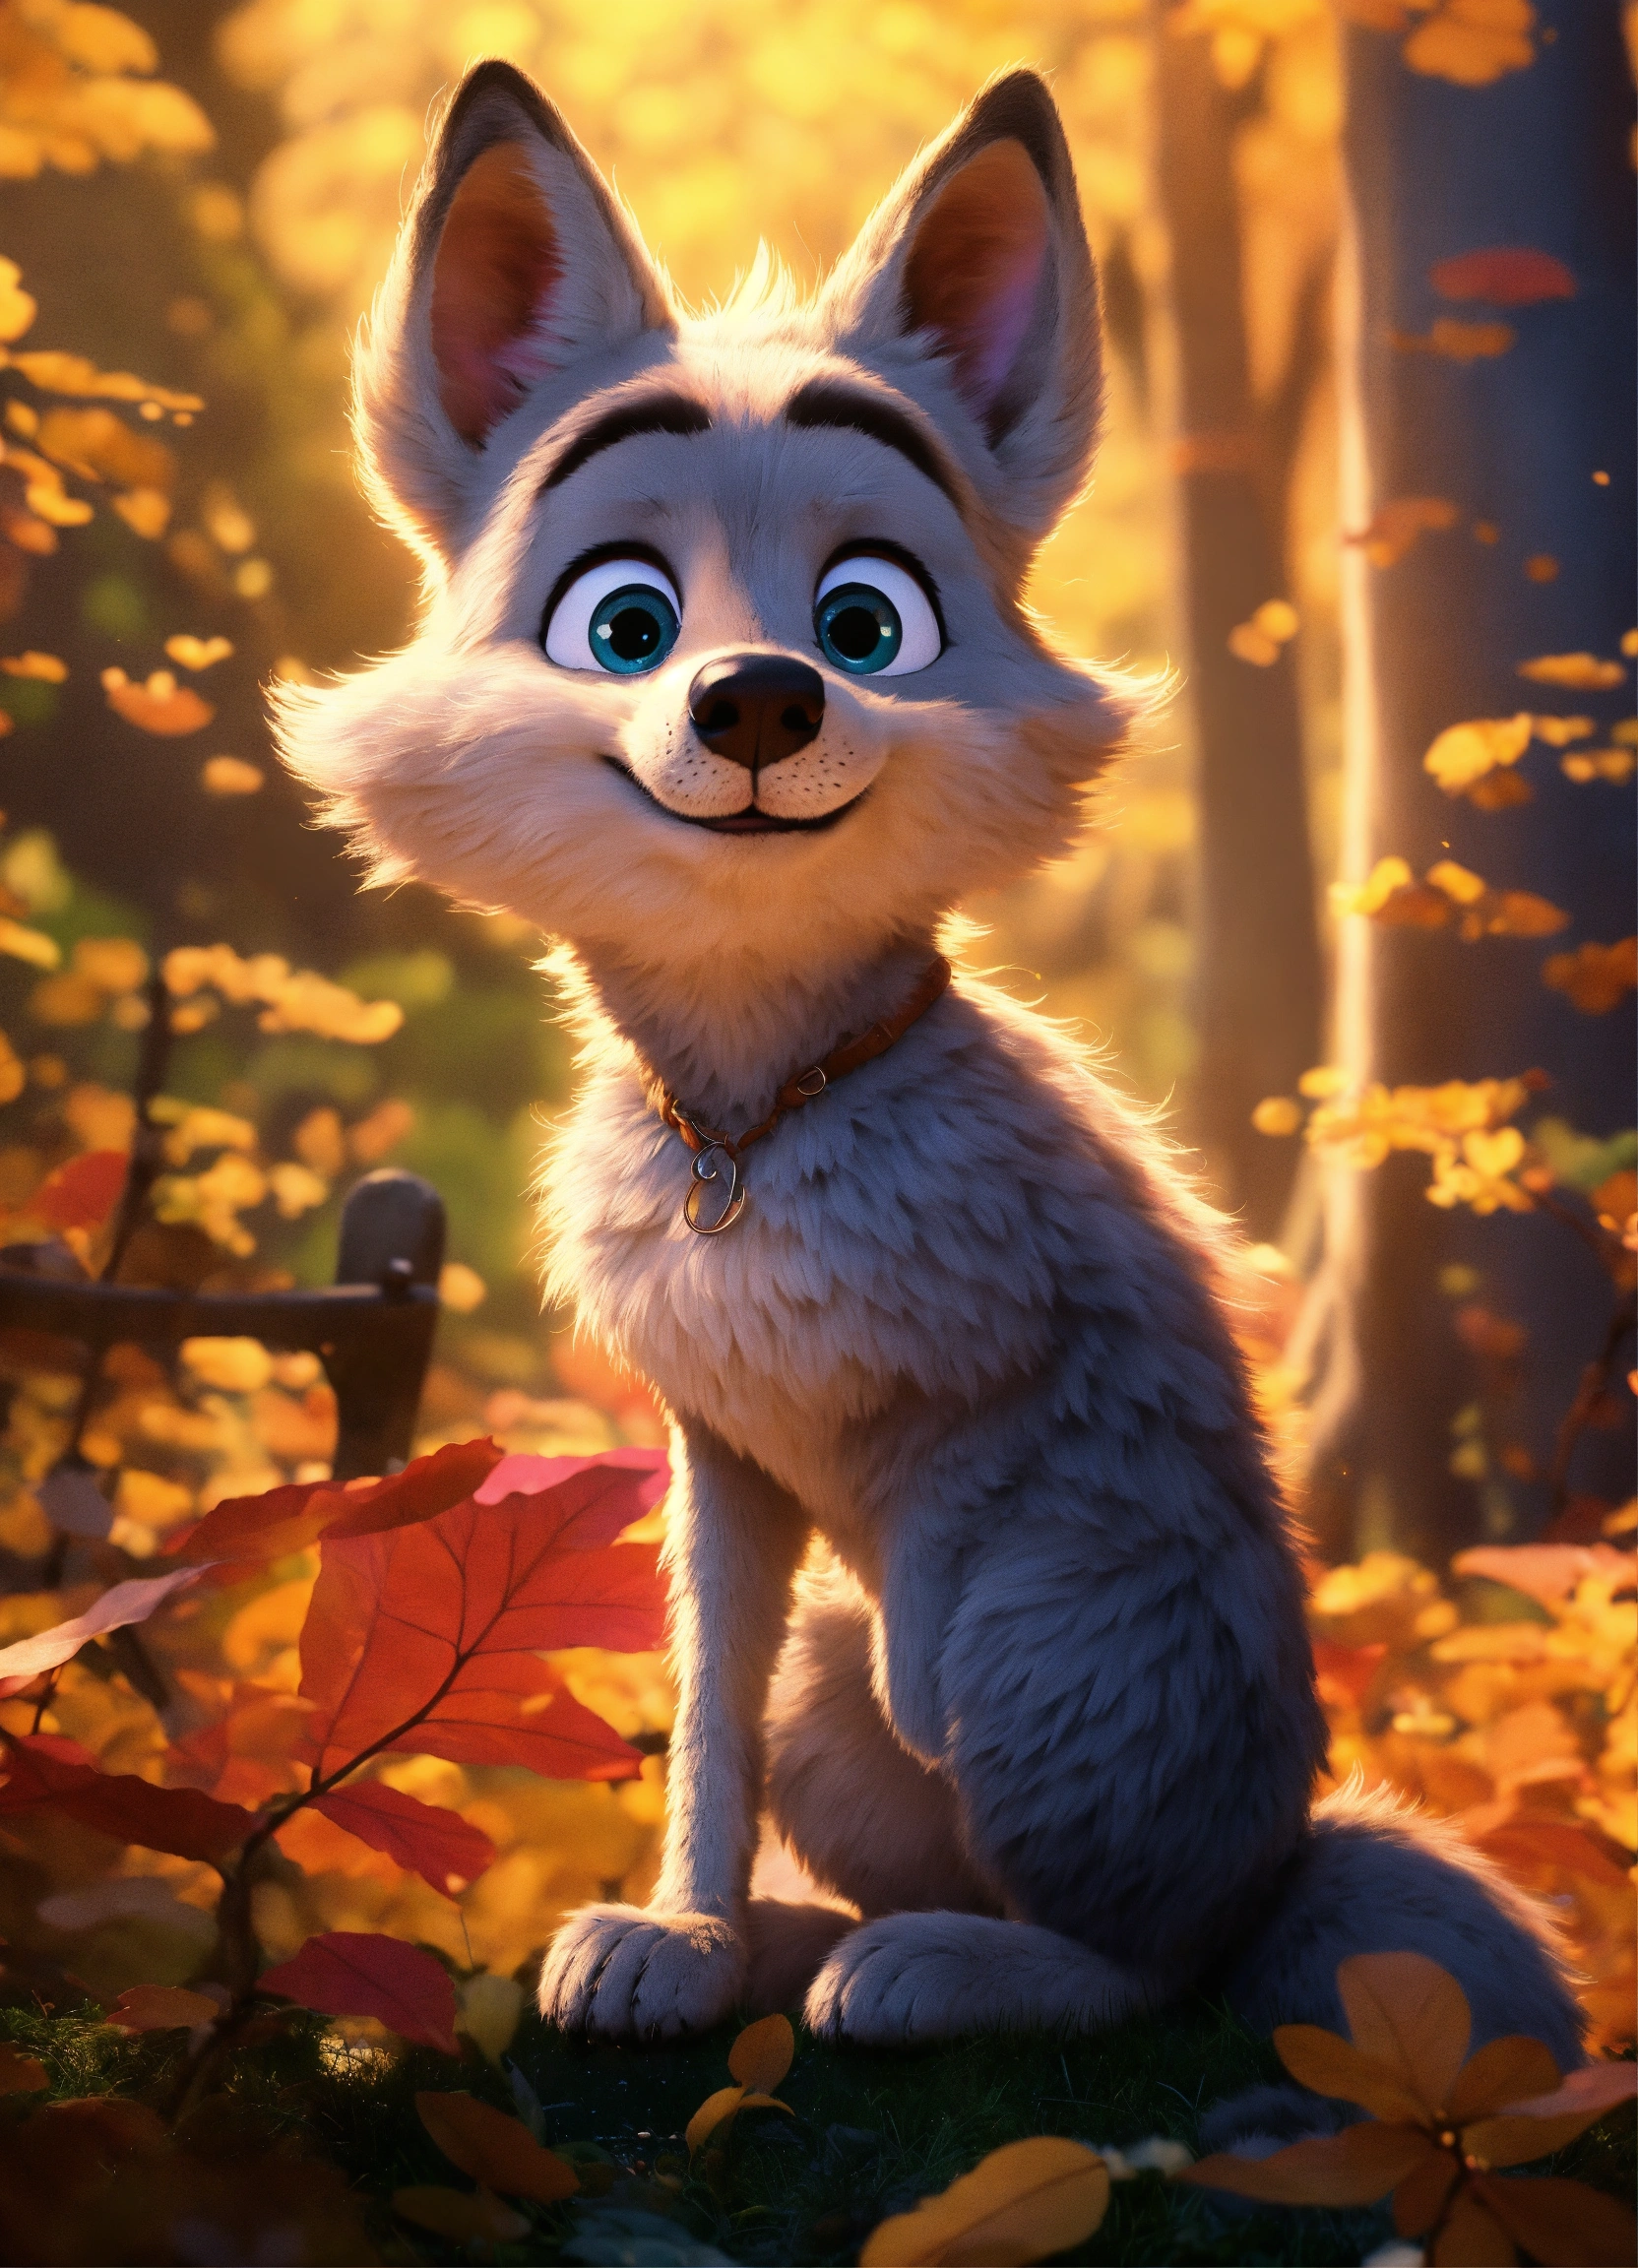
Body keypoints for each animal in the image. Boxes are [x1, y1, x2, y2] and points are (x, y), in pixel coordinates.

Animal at [275, 57, 1583, 2068]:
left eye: (866, 620)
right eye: (623, 621)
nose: (757, 699)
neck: (755, 1118)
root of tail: (1278, 1852)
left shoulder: (1011, 1379)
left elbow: (949, 1540)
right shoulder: (718, 1453)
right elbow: (703, 1717)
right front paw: (678, 1932)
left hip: (1067, 1656)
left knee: (1140, 1962)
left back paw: (943, 1968)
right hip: (857, 1704)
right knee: (914, 1842)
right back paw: (789, 1942)